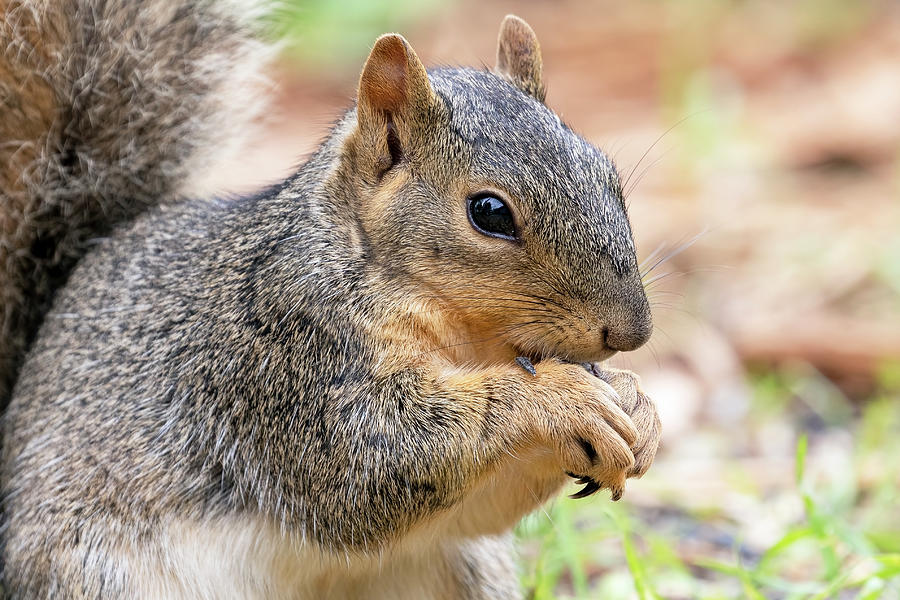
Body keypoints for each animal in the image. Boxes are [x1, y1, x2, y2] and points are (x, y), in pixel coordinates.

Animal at [0, 1, 662, 598]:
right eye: (490, 212)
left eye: (608, 174)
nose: (632, 334)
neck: (469, 337)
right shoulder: (281, 355)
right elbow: (372, 462)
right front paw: (563, 399)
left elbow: (473, 507)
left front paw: (638, 406)